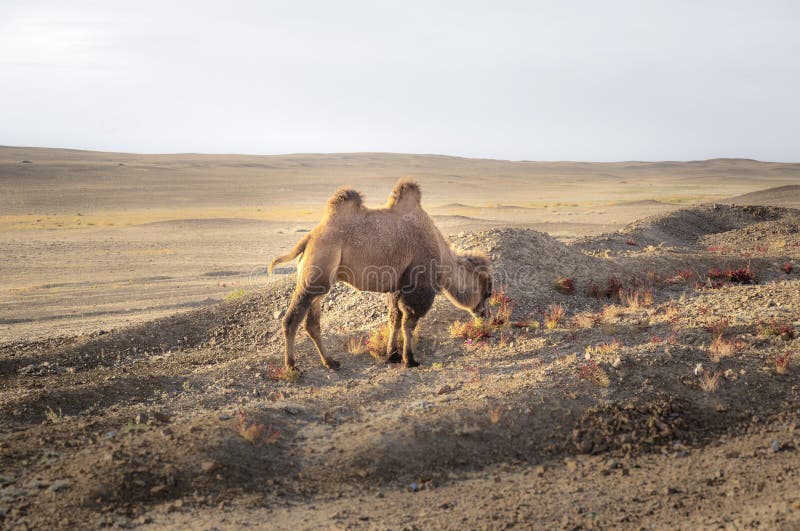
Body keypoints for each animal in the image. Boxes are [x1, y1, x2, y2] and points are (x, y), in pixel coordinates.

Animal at [270, 178, 493, 370]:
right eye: (488, 293)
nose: (485, 315)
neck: (442, 256)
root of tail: (308, 238)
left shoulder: (398, 285)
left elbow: (395, 318)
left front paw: (392, 355)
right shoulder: (419, 284)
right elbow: (409, 320)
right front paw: (409, 359)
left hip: (319, 281)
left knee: (312, 323)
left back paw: (330, 362)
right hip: (316, 272)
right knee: (291, 320)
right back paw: (292, 367)